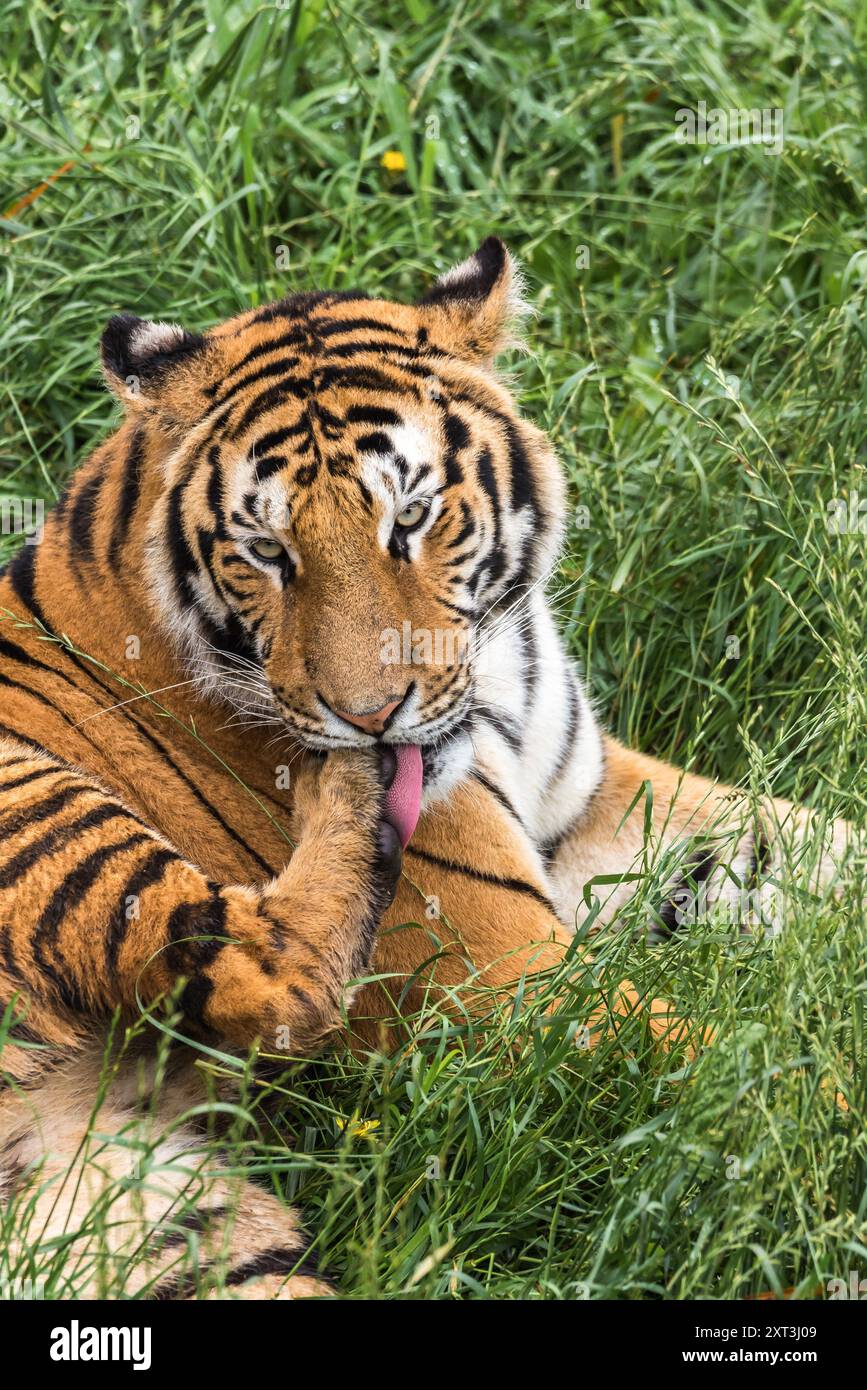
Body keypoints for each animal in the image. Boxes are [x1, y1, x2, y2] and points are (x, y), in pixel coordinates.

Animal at [0, 237, 853, 1299]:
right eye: (264, 548)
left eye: (409, 517)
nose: (367, 717)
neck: (499, 689)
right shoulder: (497, 973)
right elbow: (737, 1066)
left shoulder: (593, 807)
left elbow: (811, 847)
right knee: (265, 968)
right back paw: (344, 795)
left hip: (157, 1220)